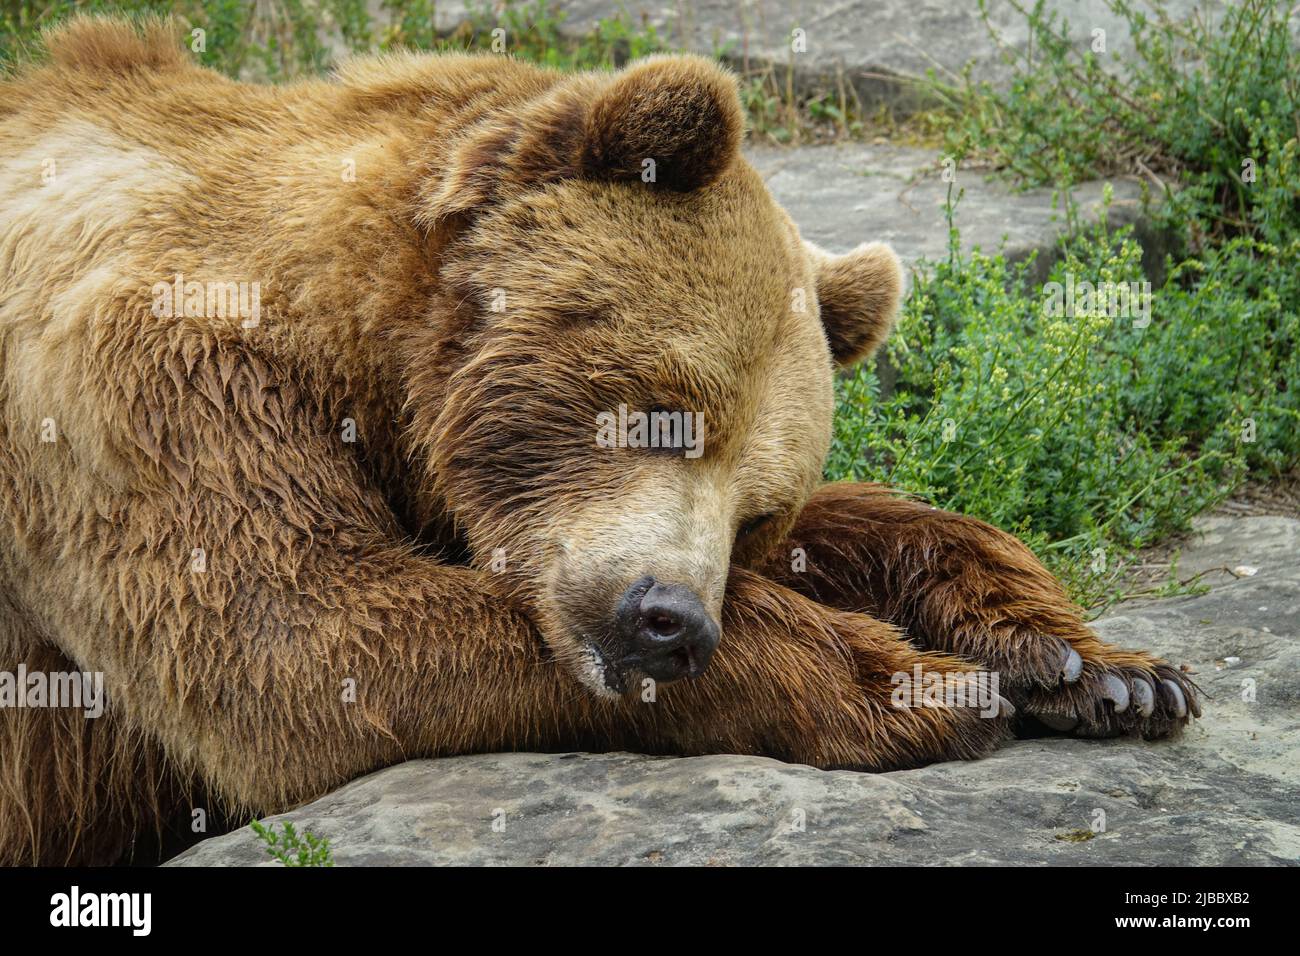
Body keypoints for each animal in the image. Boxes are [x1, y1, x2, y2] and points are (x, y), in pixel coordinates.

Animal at [0, 17, 1199, 865]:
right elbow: (301, 637)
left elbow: (869, 521)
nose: (670, 620)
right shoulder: (144, 381)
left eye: (757, 512)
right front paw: (914, 681)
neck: (360, 334)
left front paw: (1098, 666)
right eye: (665, 410)